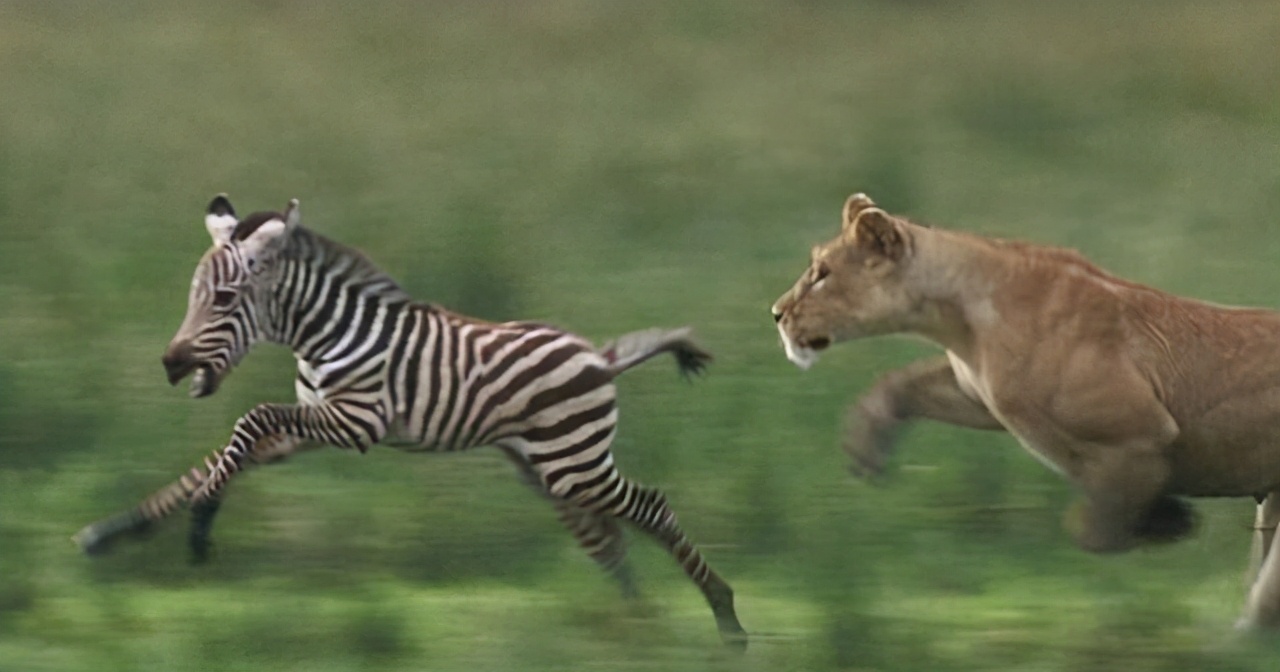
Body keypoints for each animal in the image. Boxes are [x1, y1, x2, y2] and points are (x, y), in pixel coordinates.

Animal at [771, 192, 1280, 629]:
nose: (776, 313)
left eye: (822, 273)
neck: (961, 323)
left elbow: (1094, 528)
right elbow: (902, 384)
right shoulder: (977, 393)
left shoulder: (1140, 435)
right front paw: (865, 442)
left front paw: (1168, 522)